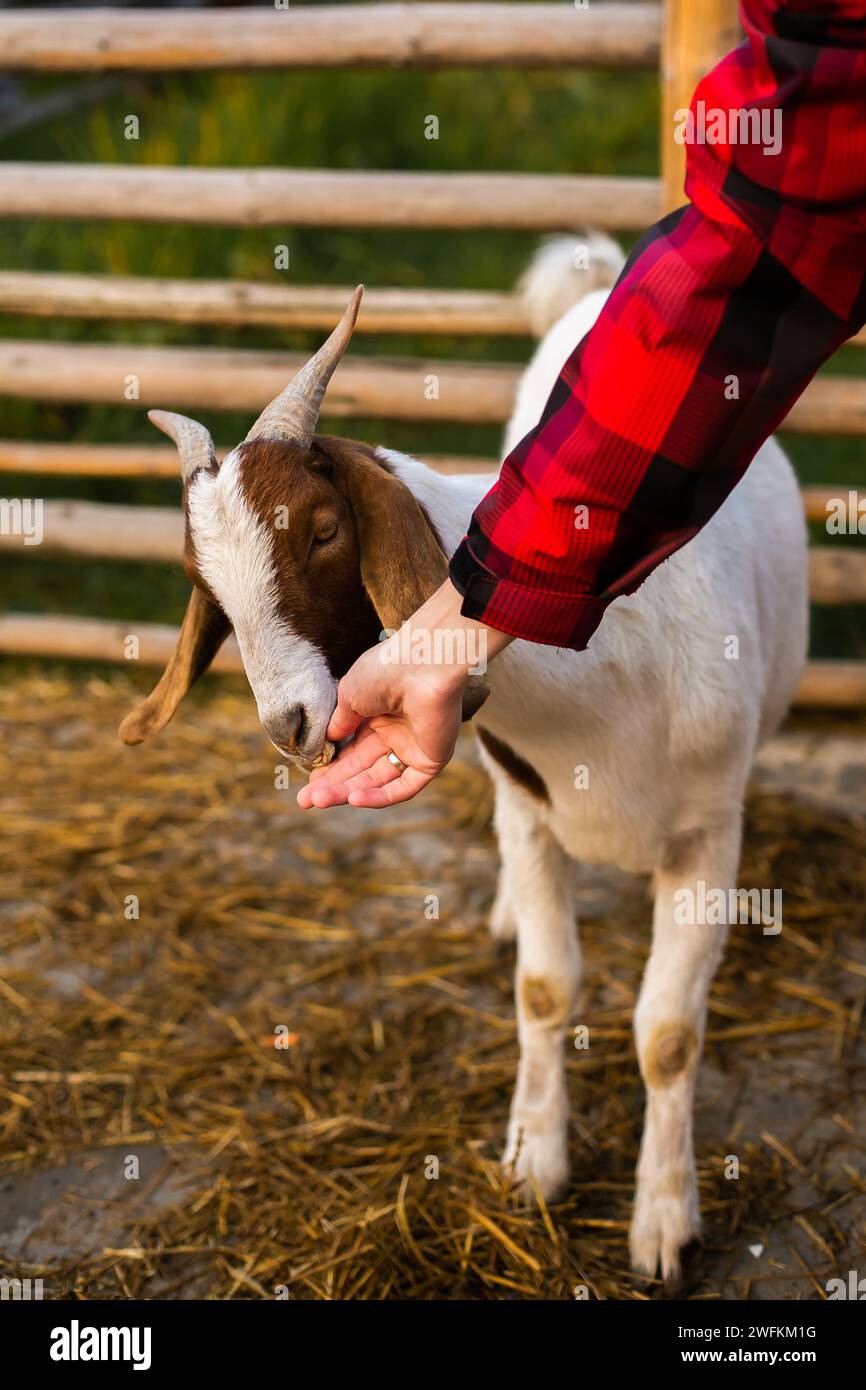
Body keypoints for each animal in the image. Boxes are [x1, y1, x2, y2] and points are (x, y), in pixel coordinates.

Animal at [119, 235, 808, 1282]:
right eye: (207, 586)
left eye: (324, 530)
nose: (288, 724)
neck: (606, 664)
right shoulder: (529, 811)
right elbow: (544, 989)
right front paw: (533, 1162)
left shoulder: (704, 834)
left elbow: (667, 1037)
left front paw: (662, 1222)